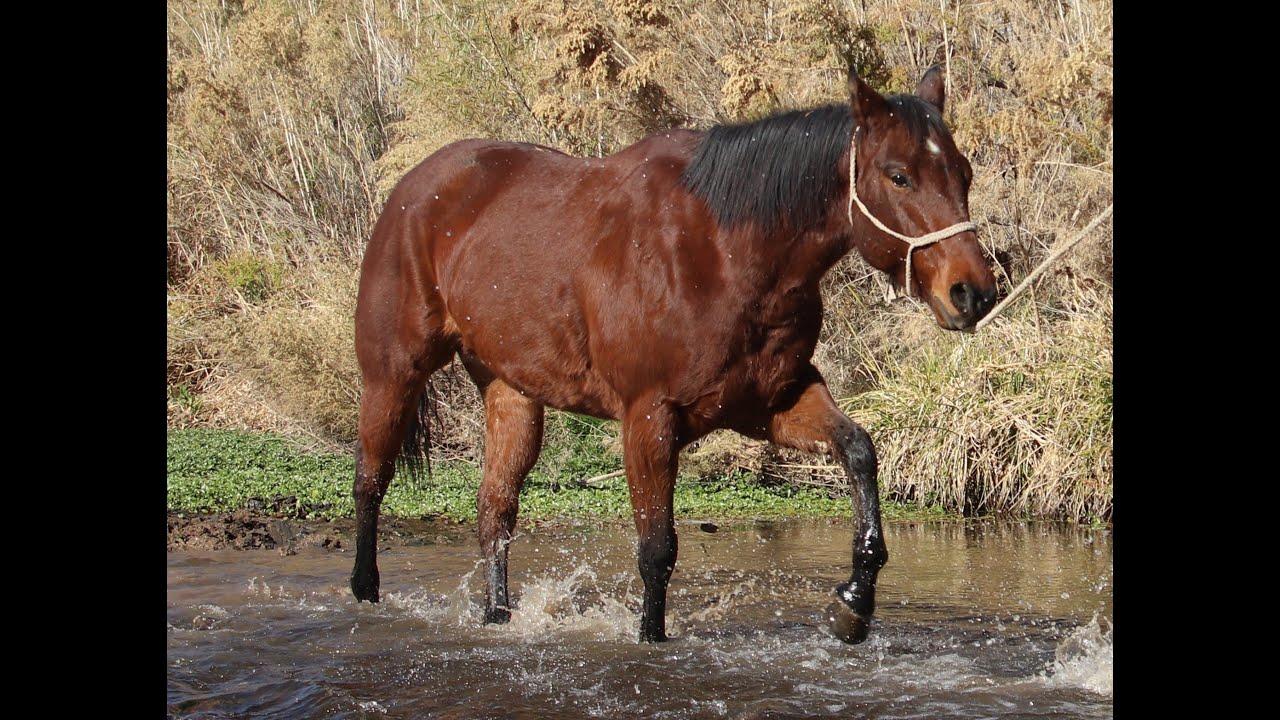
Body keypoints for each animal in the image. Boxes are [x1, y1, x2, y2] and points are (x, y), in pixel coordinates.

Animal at [350, 66, 997, 644]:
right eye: (899, 176)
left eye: (963, 172)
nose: (973, 293)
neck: (722, 254)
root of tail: (415, 186)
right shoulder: (649, 417)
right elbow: (657, 550)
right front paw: (651, 638)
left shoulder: (772, 404)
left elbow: (859, 452)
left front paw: (854, 603)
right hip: (393, 376)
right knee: (370, 483)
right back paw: (364, 592)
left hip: (511, 394)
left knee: (494, 515)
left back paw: (497, 616)